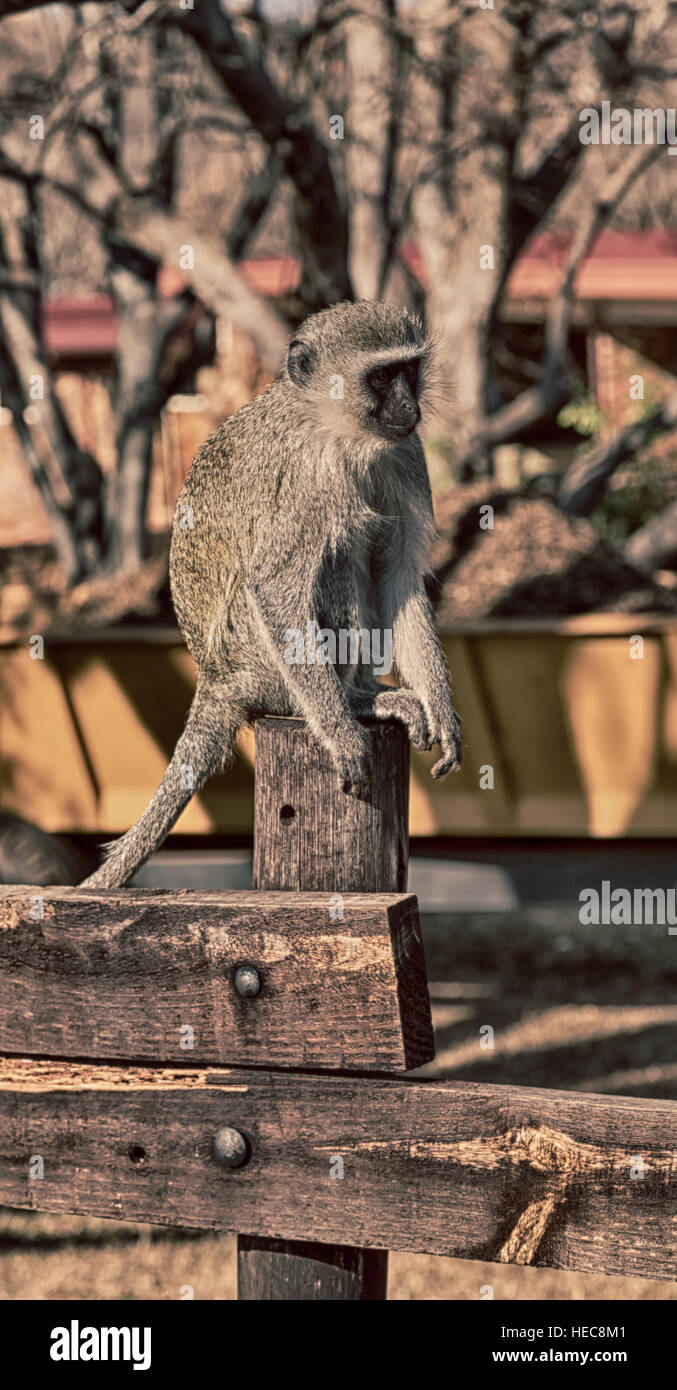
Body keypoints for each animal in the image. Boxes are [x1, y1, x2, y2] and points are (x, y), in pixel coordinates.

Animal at [81, 300, 462, 890]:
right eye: (381, 378)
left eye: (408, 371)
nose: (408, 405)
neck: (335, 429)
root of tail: (217, 679)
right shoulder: (304, 475)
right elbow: (276, 585)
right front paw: (341, 732)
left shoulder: (406, 453)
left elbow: (399, 577)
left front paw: (443, 710)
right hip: (260, 664)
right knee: (328, 556)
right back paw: (355, 700)